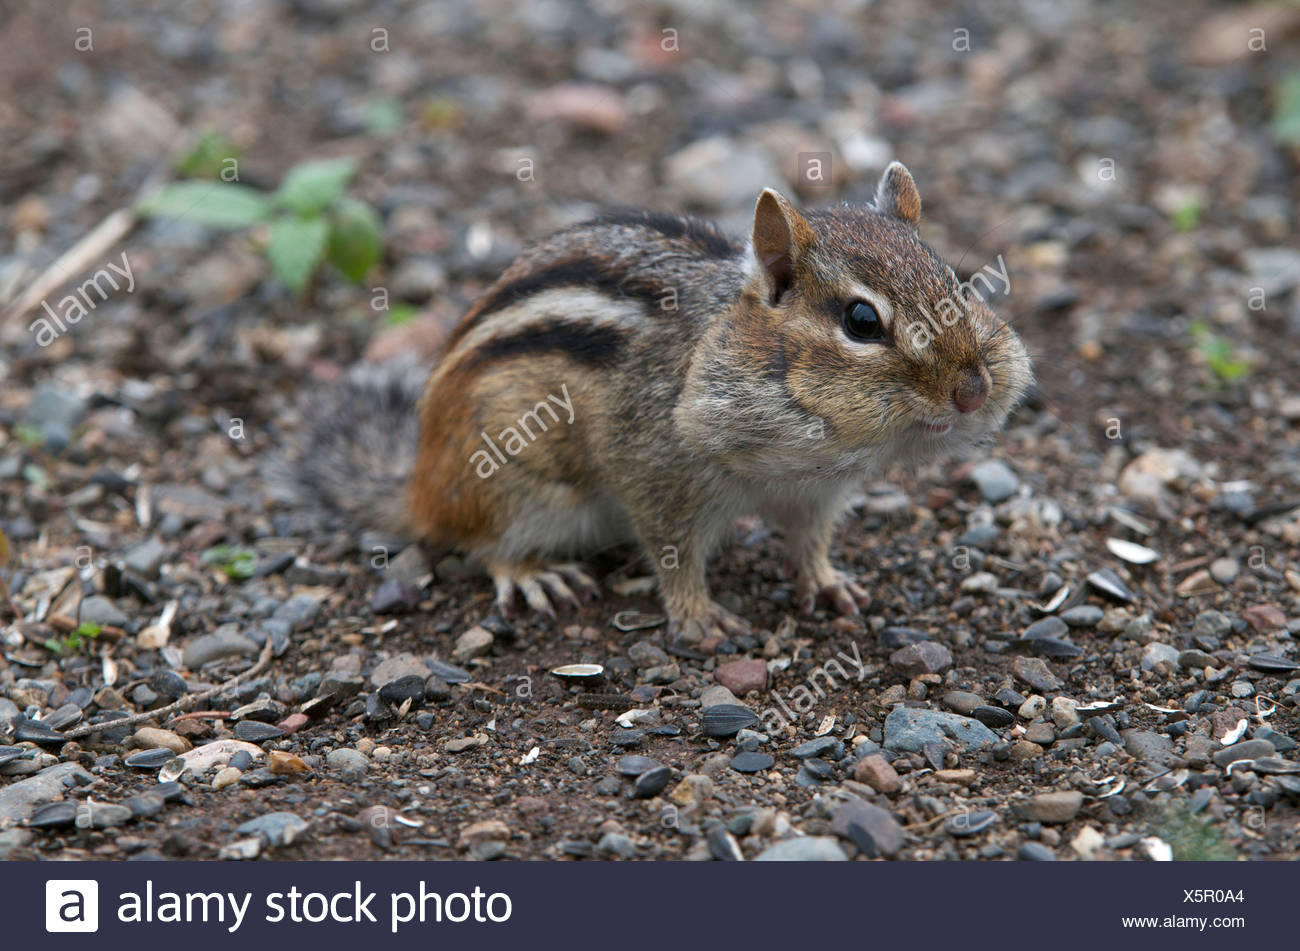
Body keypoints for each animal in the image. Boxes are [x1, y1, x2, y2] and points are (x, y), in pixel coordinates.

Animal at [289, 162, 1033, 643]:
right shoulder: (655, 469)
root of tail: (420, 480)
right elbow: (673, 553)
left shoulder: (816, 494)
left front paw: (828, 582)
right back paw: (532, 573)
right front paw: (698, 618)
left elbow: (811, 542)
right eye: (861, 321)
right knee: (475, 540)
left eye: (956, 282)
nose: (973, 390)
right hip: (507, 481)